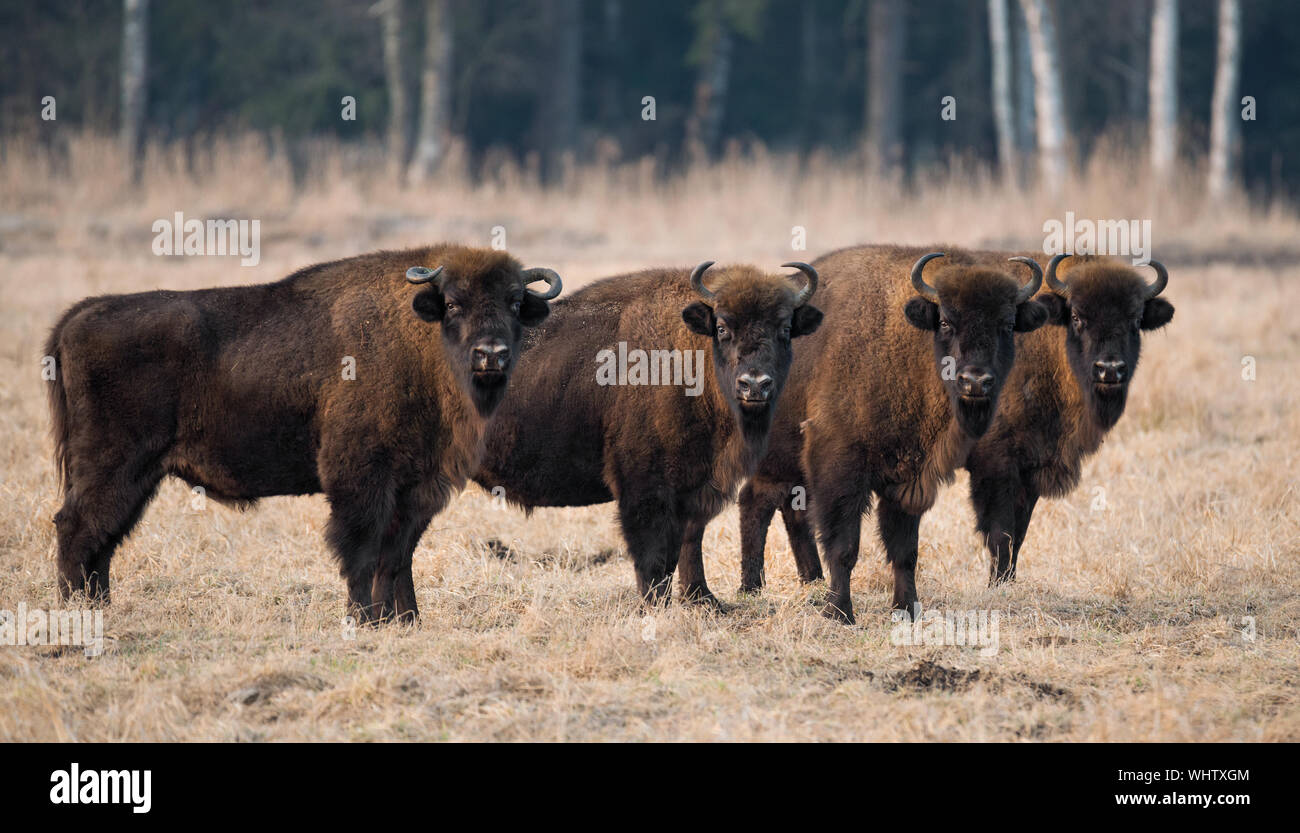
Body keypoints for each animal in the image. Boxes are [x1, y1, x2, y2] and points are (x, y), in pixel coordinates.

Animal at [46, 244, 560, 623]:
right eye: (452, 303)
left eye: (516, 303)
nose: (490, 354)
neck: (420, 335)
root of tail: (78, 317)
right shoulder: (361, 480)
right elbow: (362, 550)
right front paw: (363, 619)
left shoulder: (420, 488)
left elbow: (399, 555)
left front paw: (407, 620)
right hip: (113, 465)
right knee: (77, 526)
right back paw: (77, 612)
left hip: (137, 477)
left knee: (104, 538)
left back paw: (99, 605)